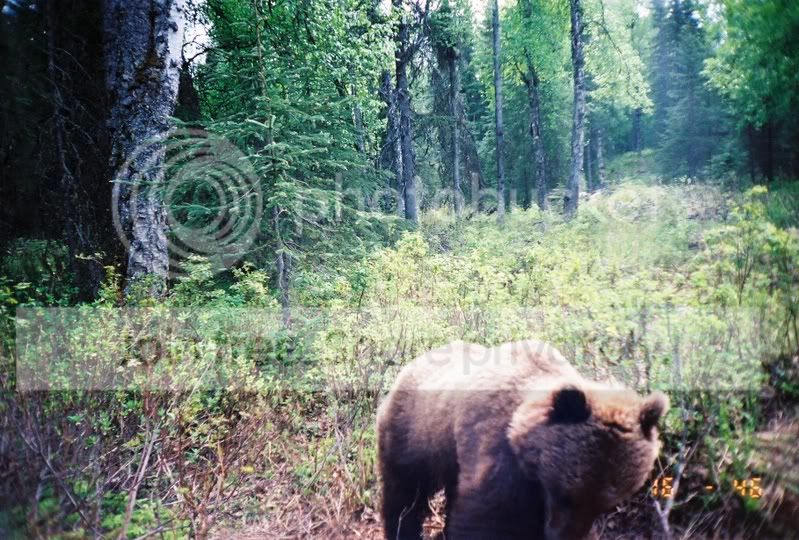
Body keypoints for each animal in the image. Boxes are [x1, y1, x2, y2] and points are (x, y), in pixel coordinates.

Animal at [376, 339, 668, 540]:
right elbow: (486, 521)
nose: (560, 536)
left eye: (605, 504)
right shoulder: (499, 463)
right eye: (566, 495)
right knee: (404, 493)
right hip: (417, 432)